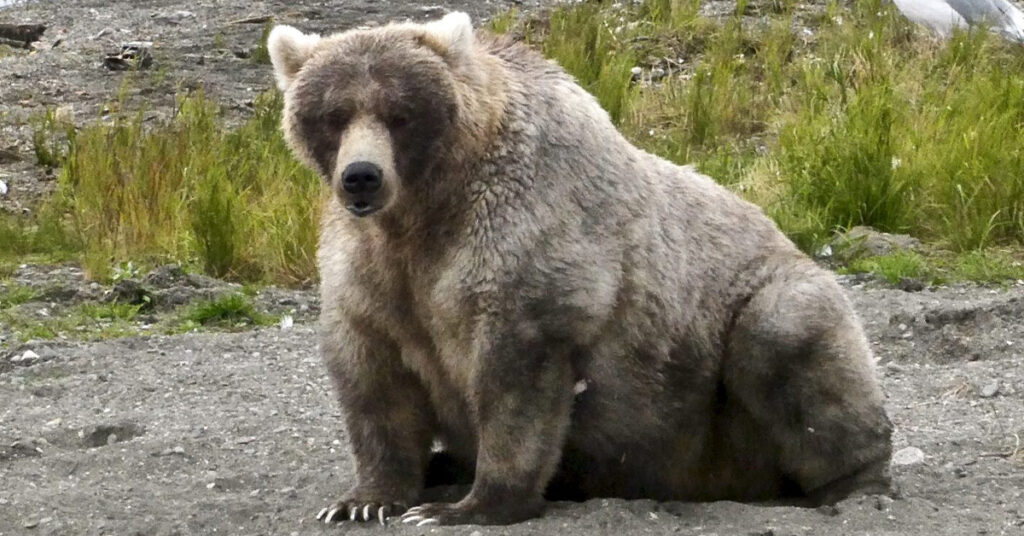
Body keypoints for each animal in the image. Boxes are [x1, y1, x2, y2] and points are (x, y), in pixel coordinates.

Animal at [267, 11, 893, 527]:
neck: (429, 210)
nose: (362, 177)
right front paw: (364, 500)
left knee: (787, 342)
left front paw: (465, 507)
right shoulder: (372, 269)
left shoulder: (524, 240)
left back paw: (851, 485)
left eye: (400, 114)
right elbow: (375, 379)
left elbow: (516, 379)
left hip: (742, 332)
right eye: (334, 114)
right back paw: (443, 464)